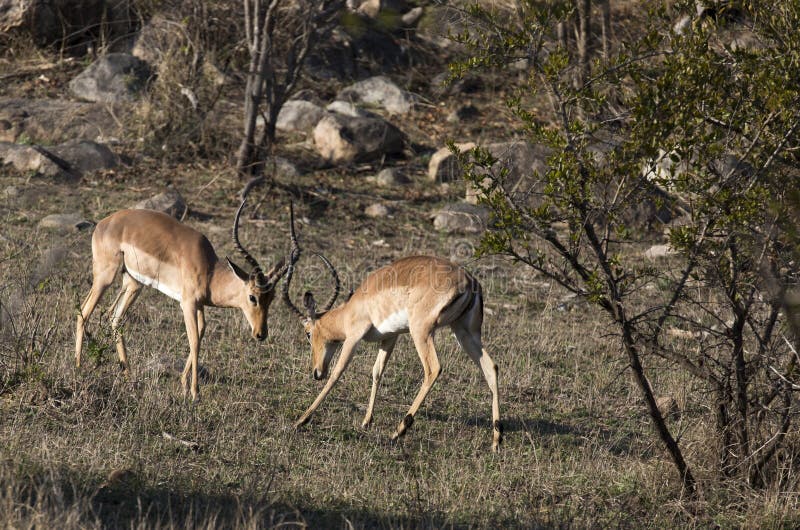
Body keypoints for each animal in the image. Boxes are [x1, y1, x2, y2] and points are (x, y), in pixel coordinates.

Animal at [75, 185, 299, 400]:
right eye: (252, 297)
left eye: (271, 298)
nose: (261, 334)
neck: (209, 270)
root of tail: (102, 223)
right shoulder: (187, 304)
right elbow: (194, 341)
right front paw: (195, 394)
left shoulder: (199, 305)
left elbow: (201, 333)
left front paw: (183, 385)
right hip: (106, 276)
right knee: (83, 312)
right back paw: (78, 368)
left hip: (133, 283)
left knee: (115, 318)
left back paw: (128, 376)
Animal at [283, 253, 502, 451]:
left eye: (308, 333)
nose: (316, 372)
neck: (350, 310)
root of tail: (468, 280)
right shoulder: (390, 337)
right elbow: (377, 371)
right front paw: (366, 421)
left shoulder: (354, 336)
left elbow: (337, 373)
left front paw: (301, 420)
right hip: (464, 332)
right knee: (491, 367)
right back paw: (496, 441)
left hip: (421, 331)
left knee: (433, 369)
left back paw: (399, 431)